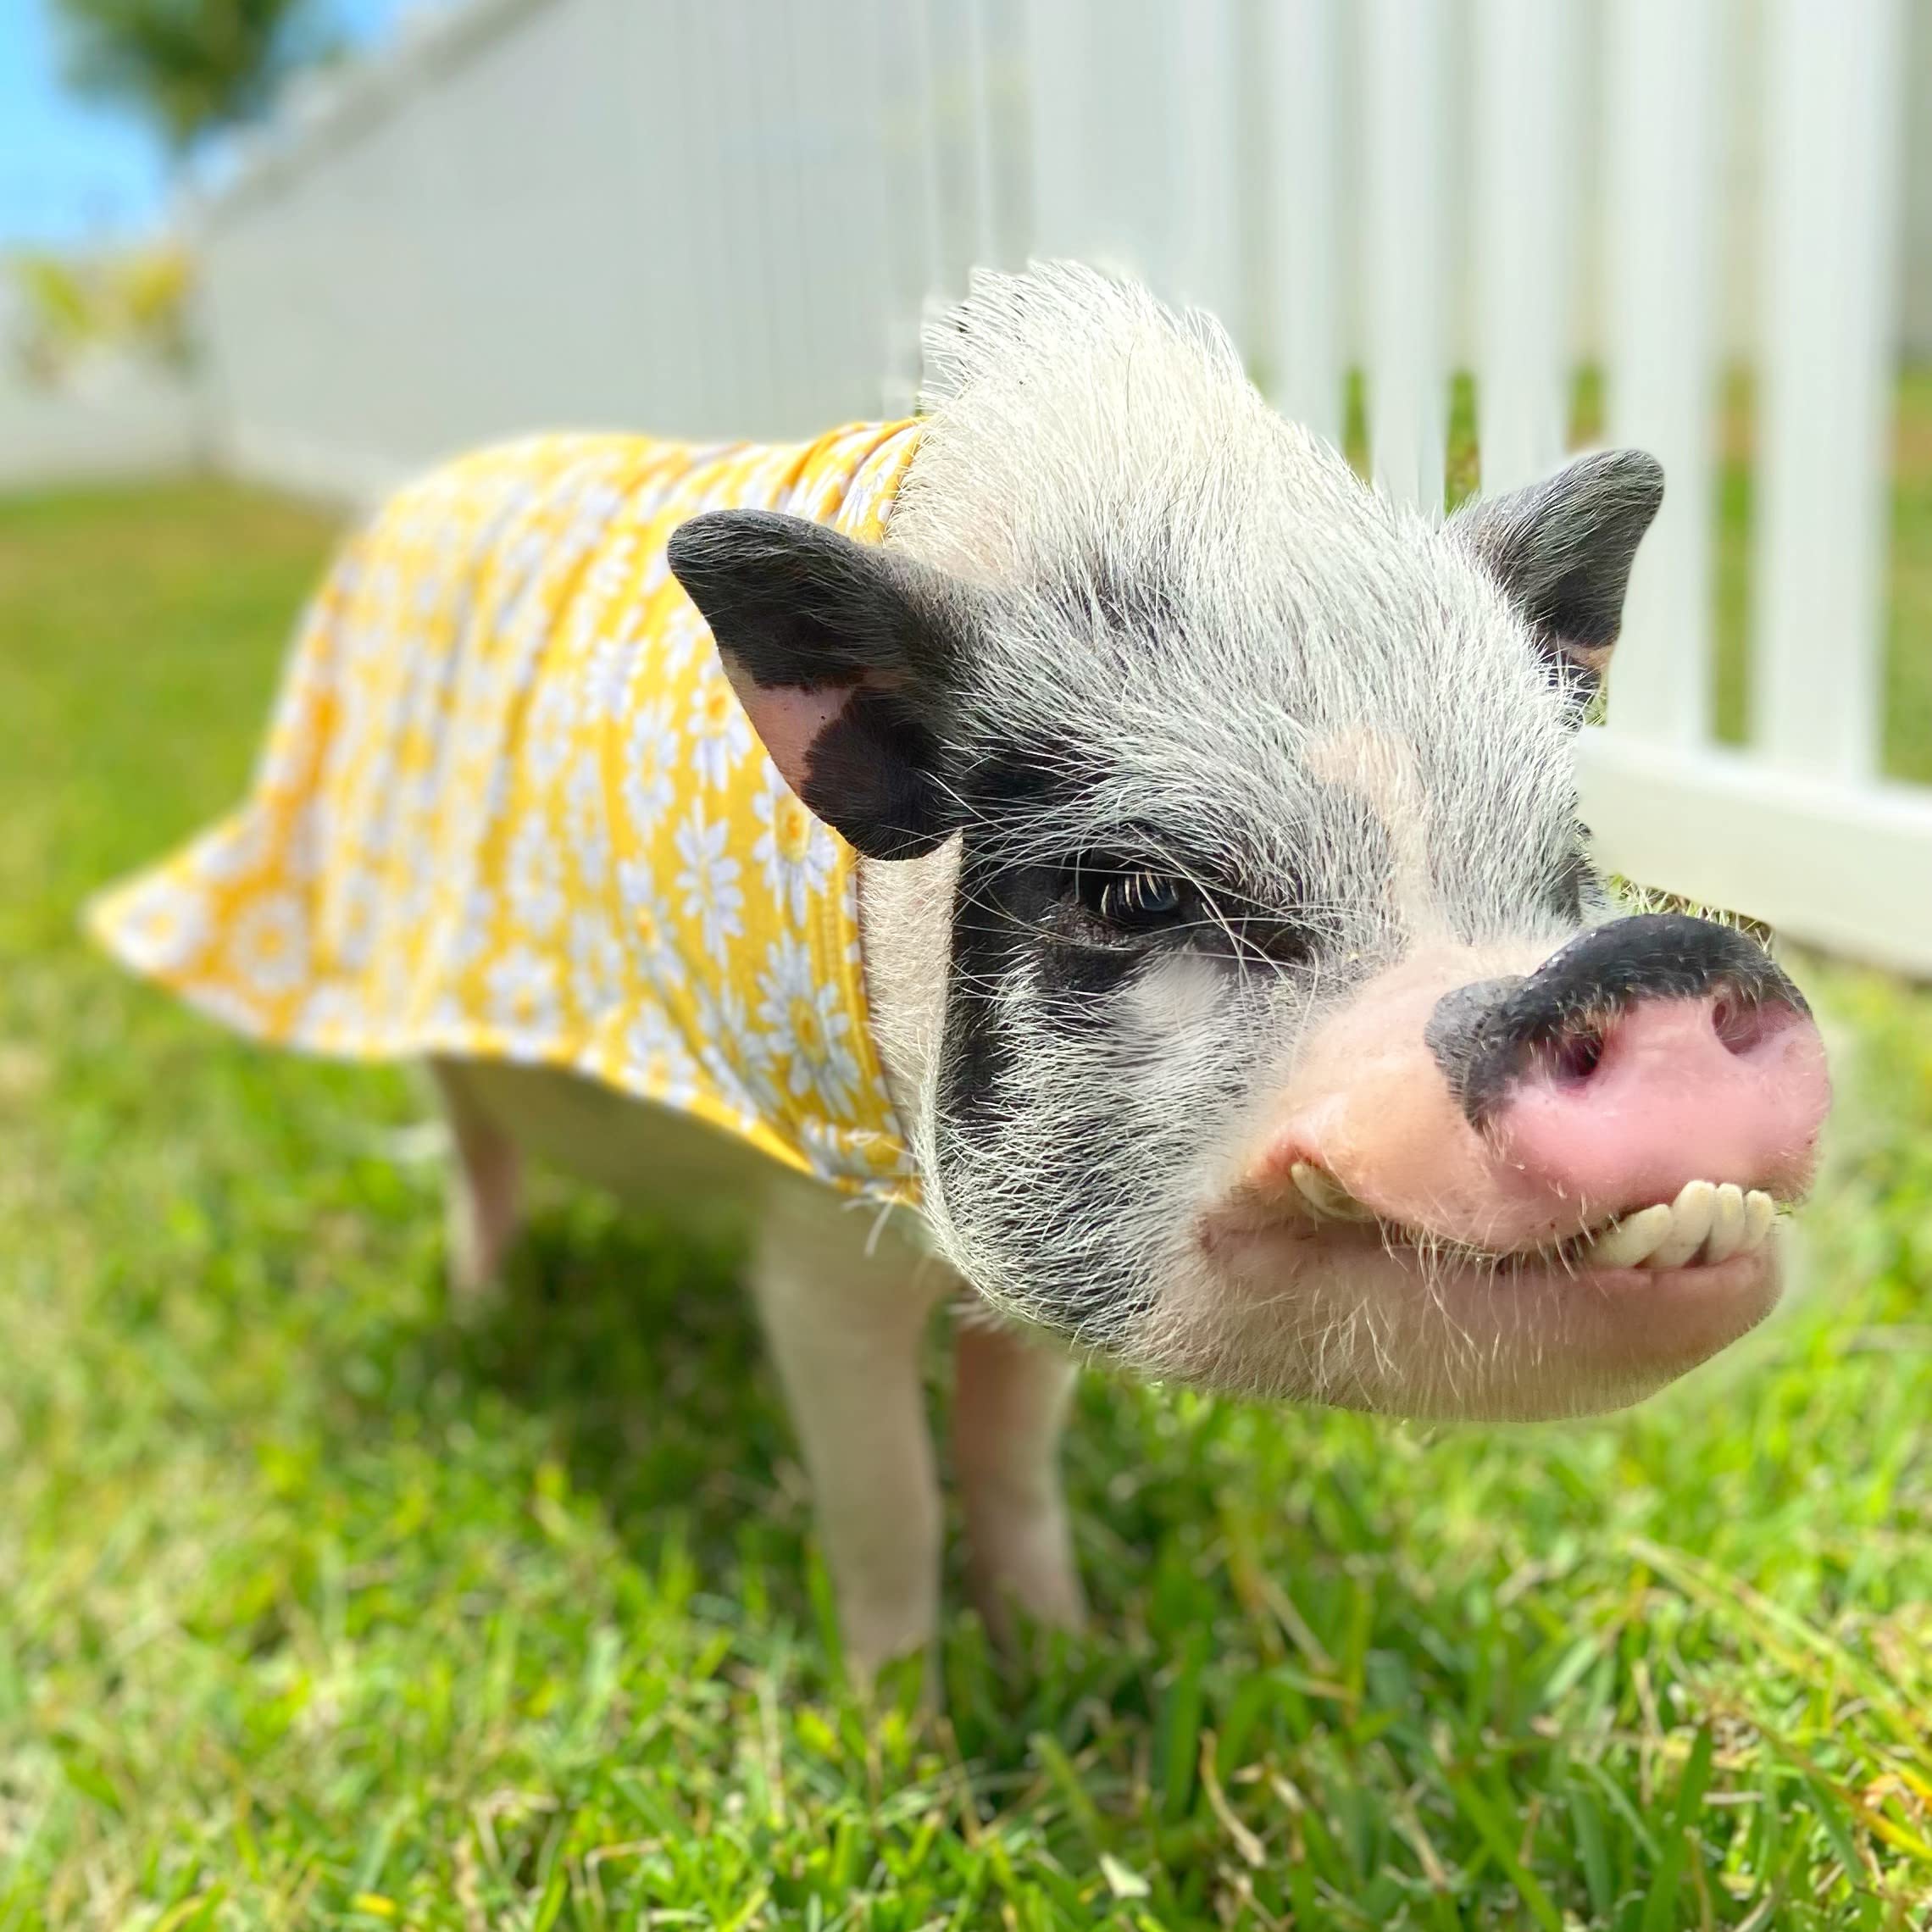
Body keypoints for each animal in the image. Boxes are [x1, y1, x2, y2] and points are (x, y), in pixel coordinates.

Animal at [98, 264, 1831, 1676]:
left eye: (1564, 857)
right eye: (1136, 891)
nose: (1659, 955)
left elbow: (1009, 1464)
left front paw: (1063, 1662)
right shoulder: (812, 1248)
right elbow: (887, 1506)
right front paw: (899, 1732)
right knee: (471, 1144)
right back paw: (482, 1315)